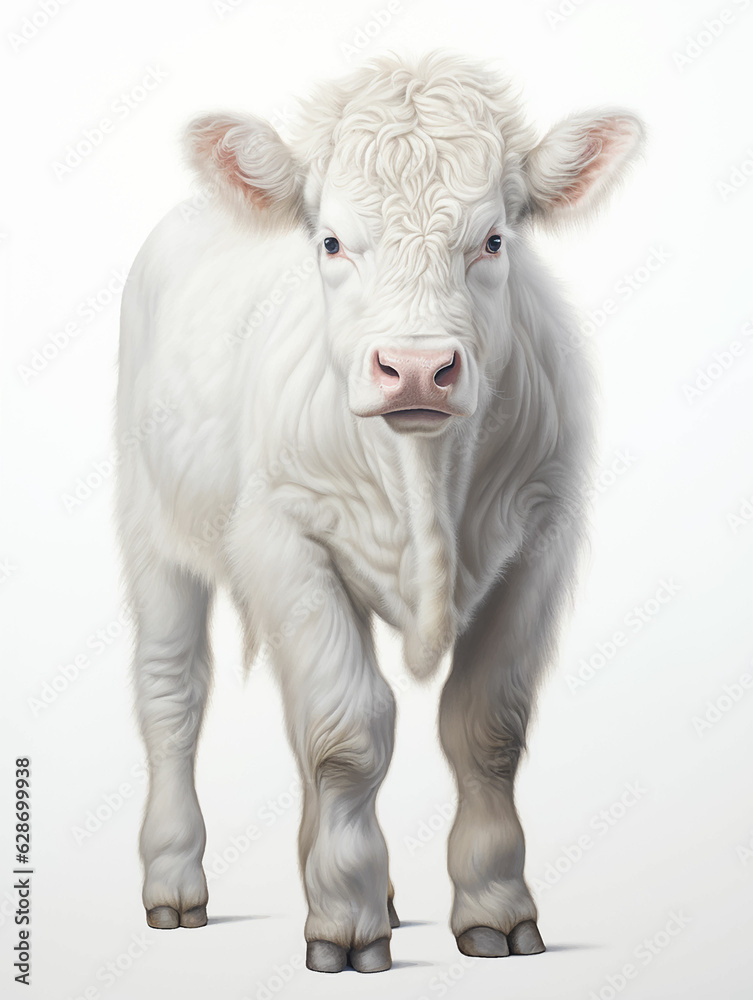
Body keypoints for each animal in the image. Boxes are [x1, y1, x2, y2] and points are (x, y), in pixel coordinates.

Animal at [116, 51, 644, 974]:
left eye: (493, 239)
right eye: (330, 240)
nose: (416, 368)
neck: (424, 478)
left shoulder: (540, 541)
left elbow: (485, 727)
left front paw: (493, 908)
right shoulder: (283, 535)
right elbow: (347, 732)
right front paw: (343, 922)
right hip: (153, 532)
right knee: (172, 695)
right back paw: (174, 882)